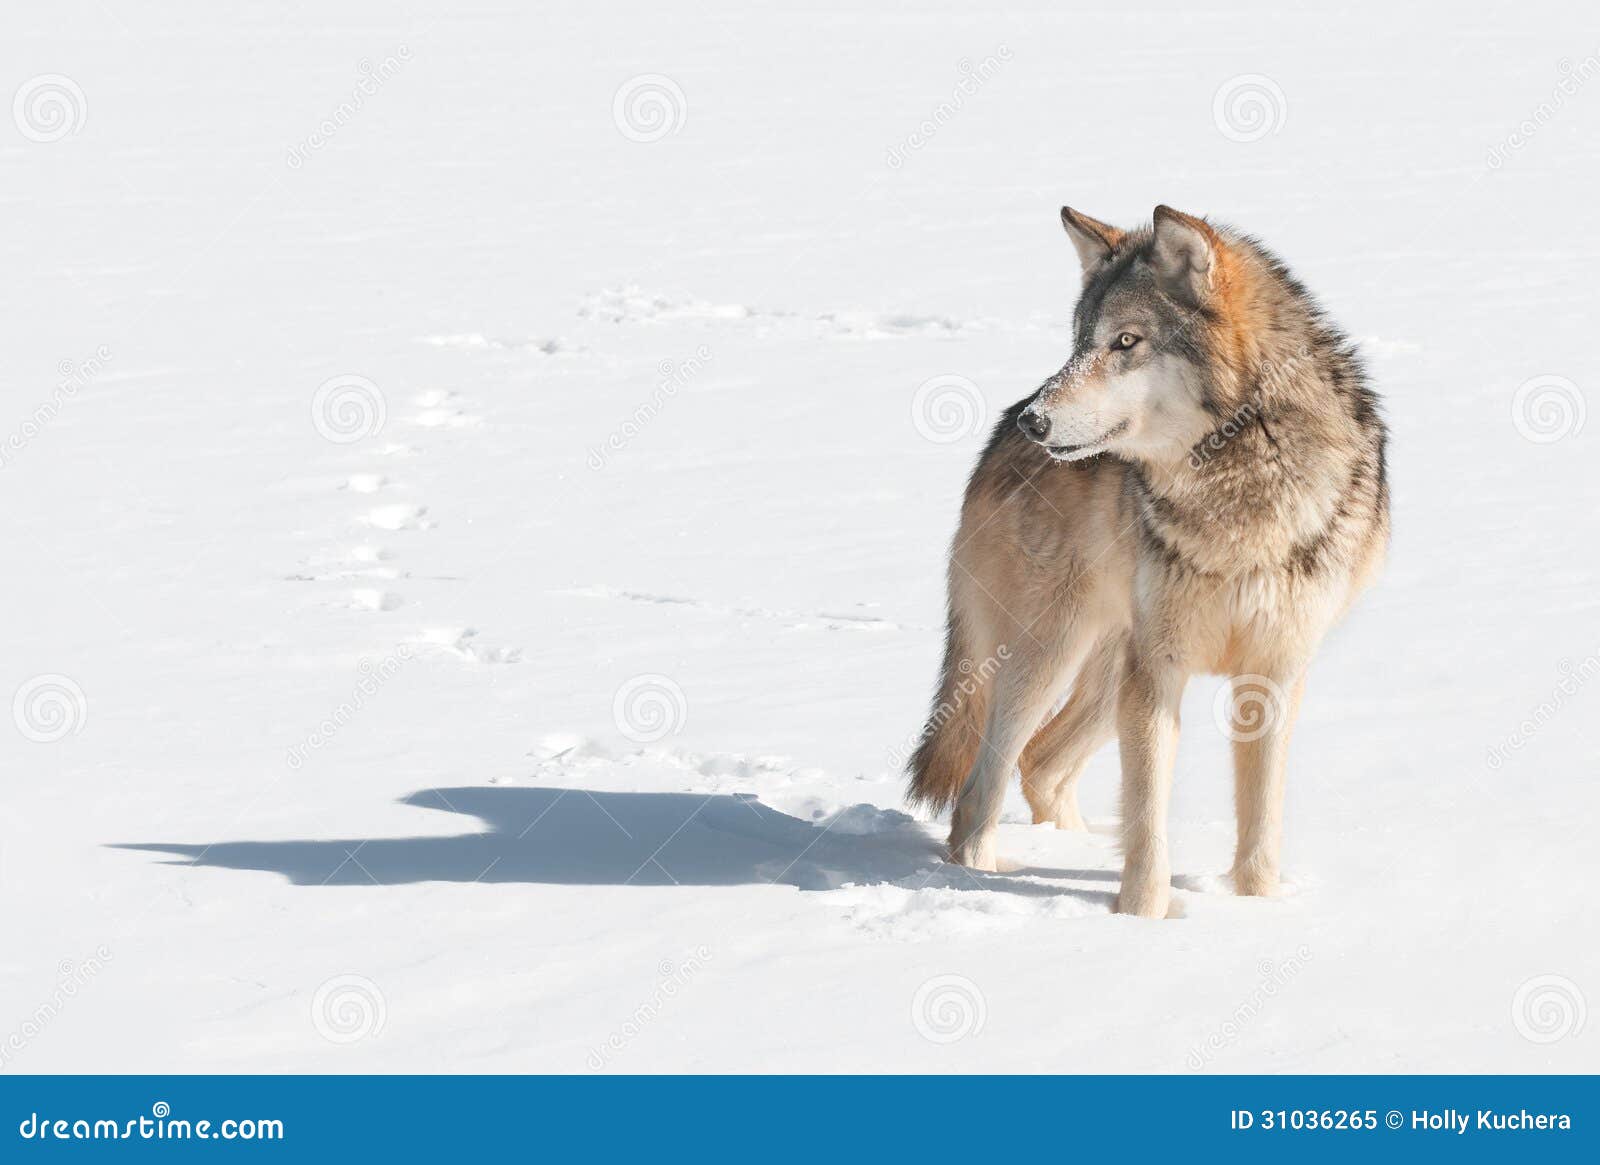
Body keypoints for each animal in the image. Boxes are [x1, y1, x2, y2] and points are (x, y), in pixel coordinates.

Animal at [907, 205, 1388, 918]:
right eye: (1079, 341)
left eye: (1126, 342)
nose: (1035, 422)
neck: (1239, 485)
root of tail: (993, 443)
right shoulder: (1158, 672)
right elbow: (1148, 816)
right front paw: (1142, 919)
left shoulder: (1274, 673)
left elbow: (1260, 825)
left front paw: (1258, 909)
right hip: (1051, 658)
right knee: (979, 793)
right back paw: (978, 880)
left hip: (1108, 670)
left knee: (1041, 764)